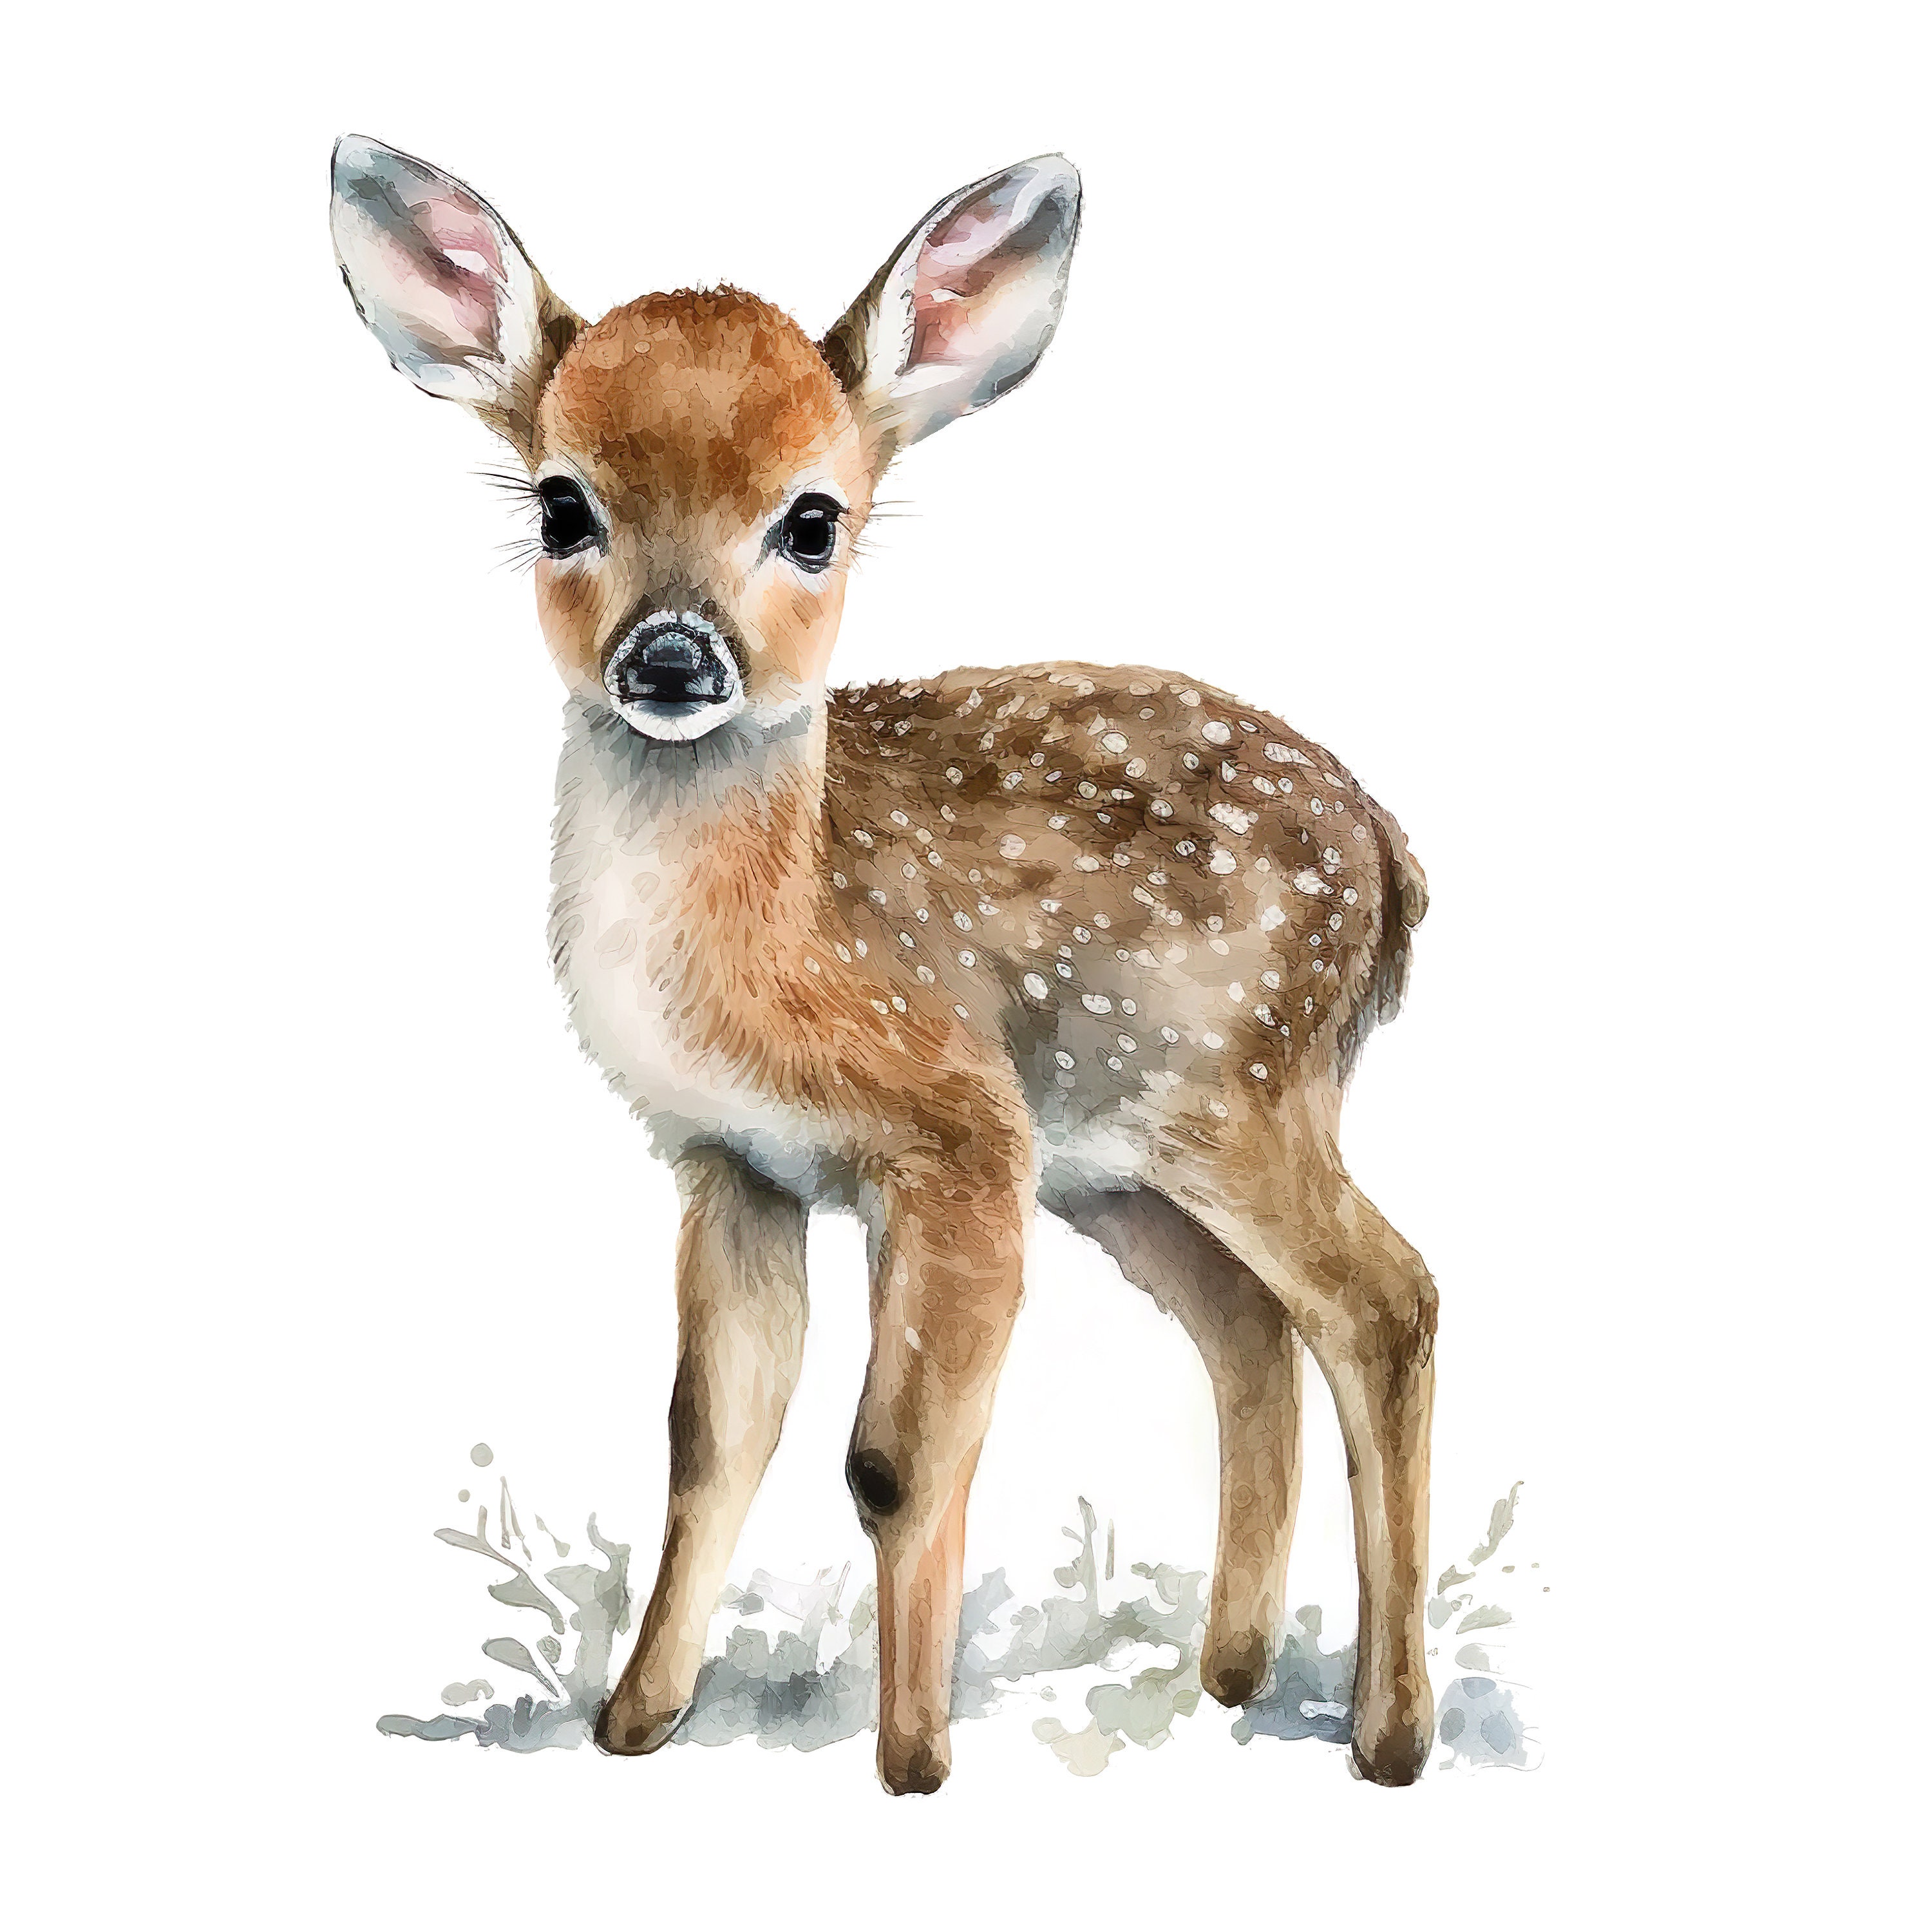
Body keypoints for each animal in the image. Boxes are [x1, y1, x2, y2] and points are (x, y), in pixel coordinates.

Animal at [331, 137, 1438, 1793]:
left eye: (812, 520)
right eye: (562, 505)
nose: (672, 657)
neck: (777, 941)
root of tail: (1390, 865)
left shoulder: (957, 1132)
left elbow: (892, 1459)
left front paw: (911, 1762)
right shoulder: (733, 1159)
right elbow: (710, 1440)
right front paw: (635, 1725)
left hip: (1235, 1086)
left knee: (1385, 1301)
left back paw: (1389, 1730)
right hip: (1122, 1160)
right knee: (1253, 1333)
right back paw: (1229, 1673)